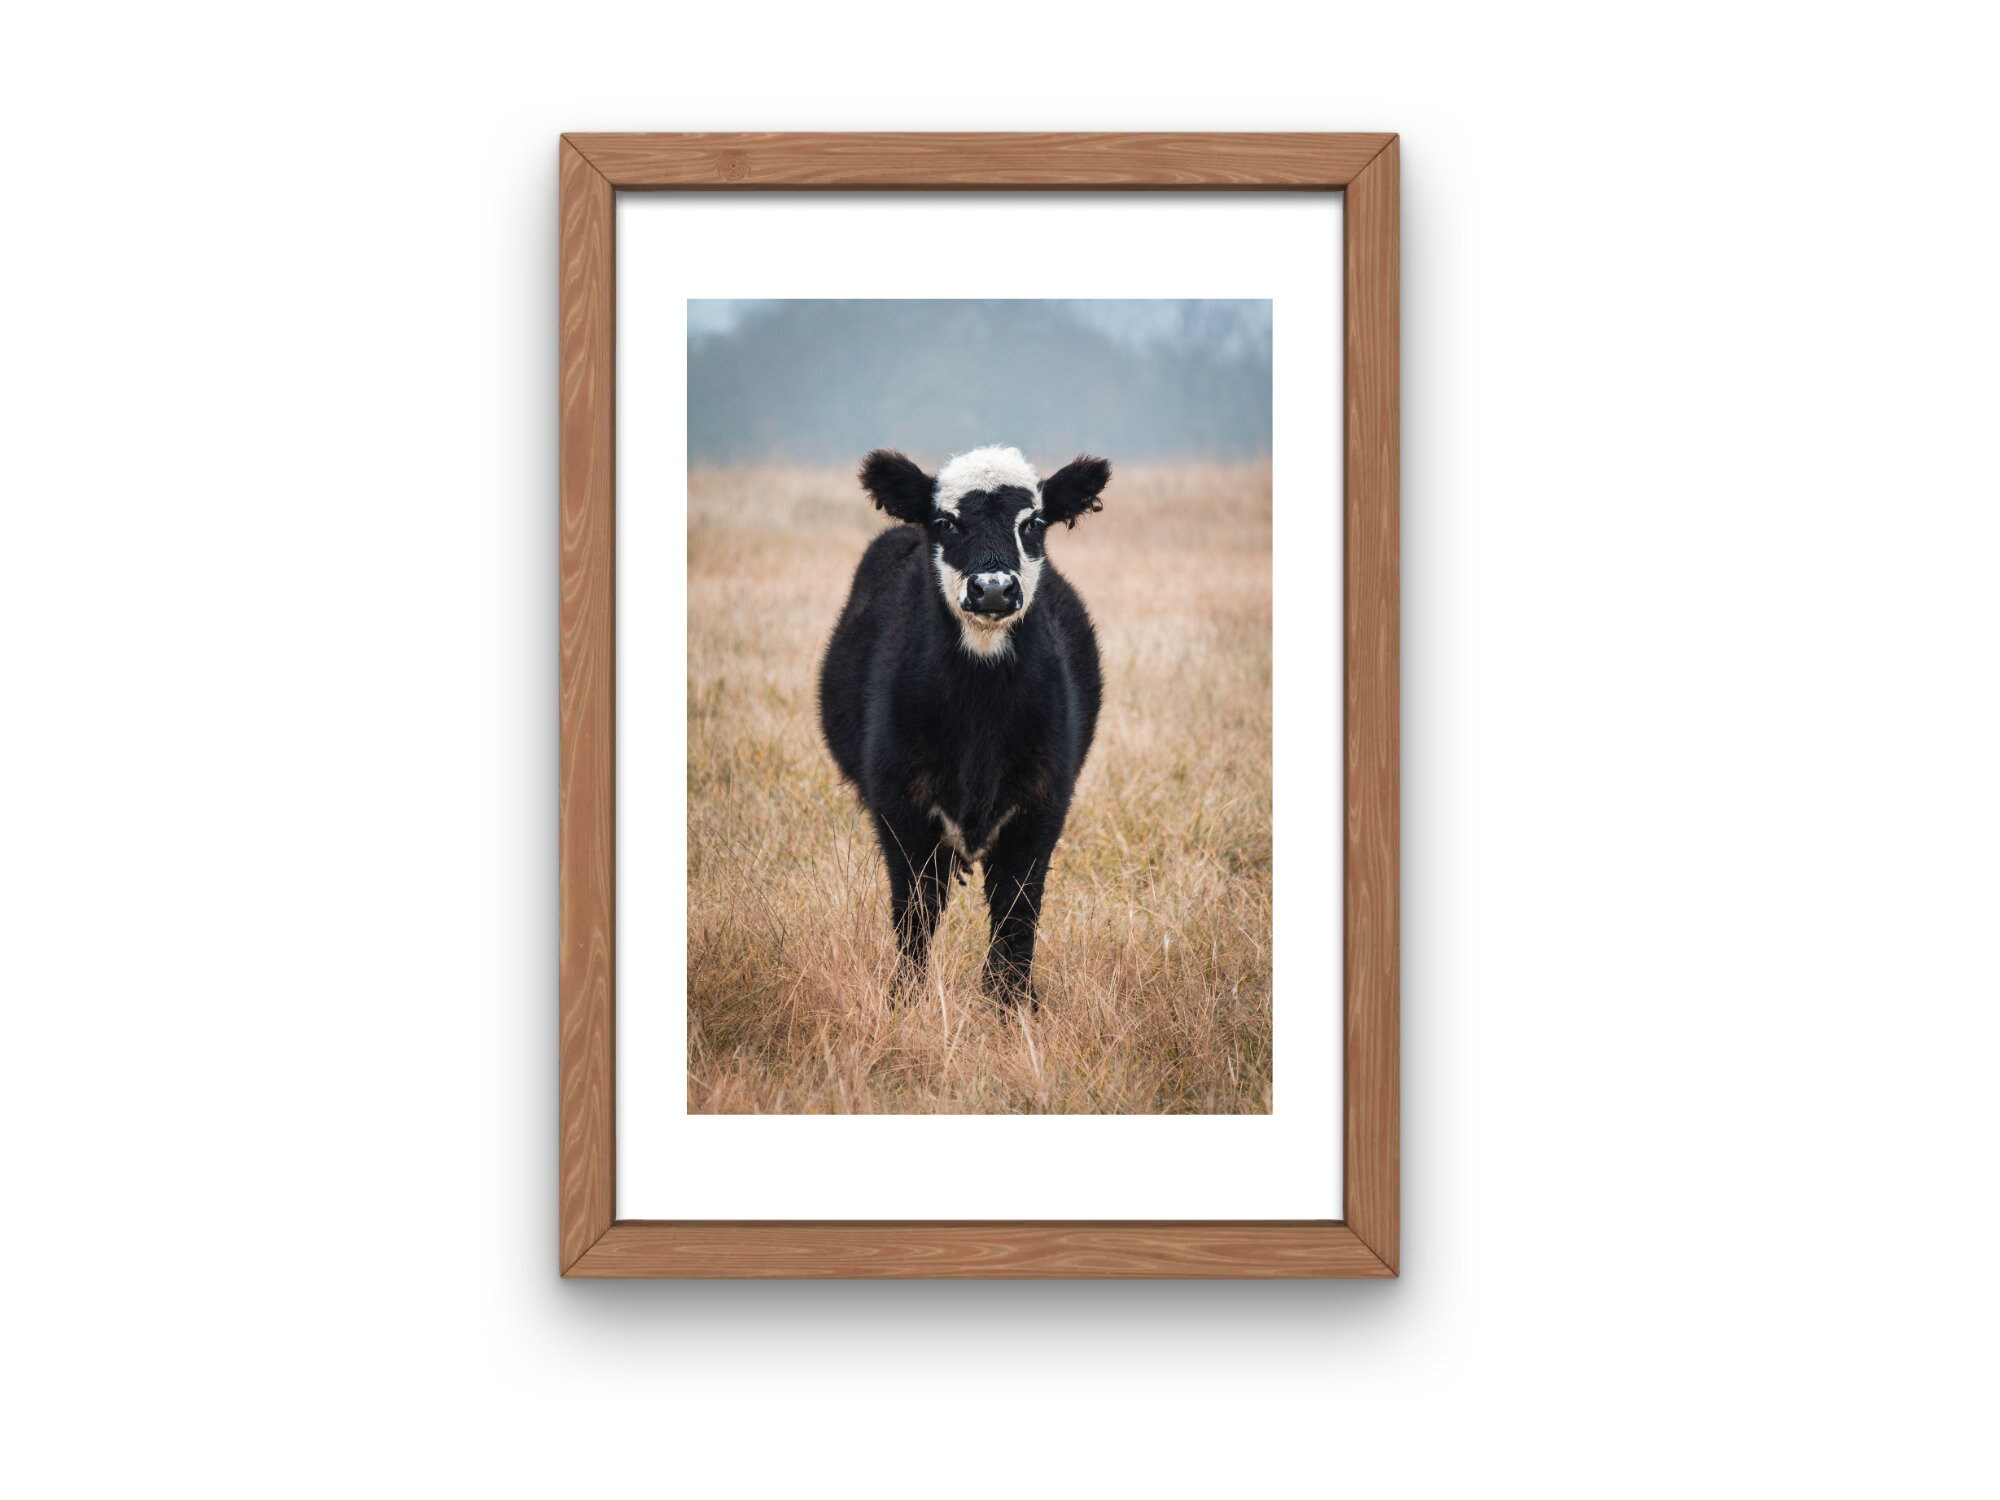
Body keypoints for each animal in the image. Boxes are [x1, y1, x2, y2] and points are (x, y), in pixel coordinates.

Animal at [818, 443, 1112, 1009]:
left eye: (1033, 522)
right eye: (946, 522)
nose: (993, 589)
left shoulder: (1042, 806)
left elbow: (1017, 912)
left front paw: (1012, 1005)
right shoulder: (900, 808)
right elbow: (915, 910)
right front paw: (905, 1000)